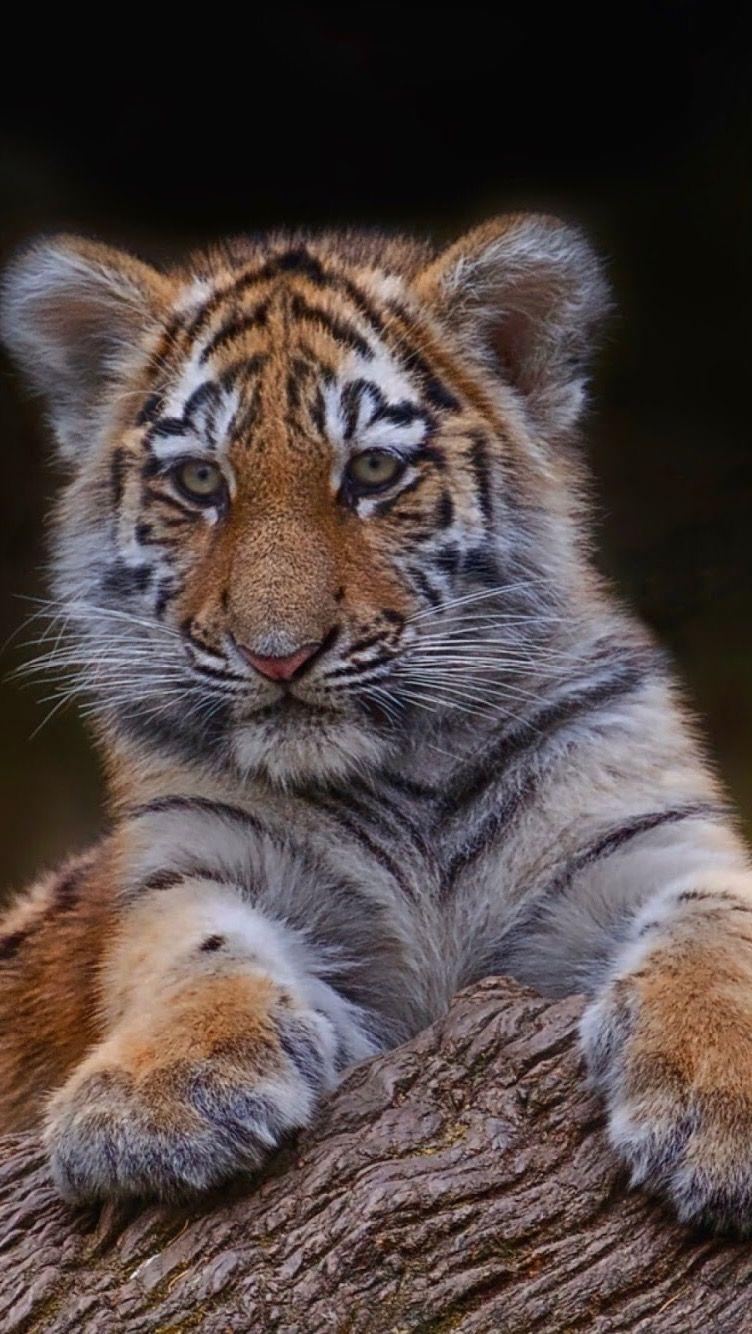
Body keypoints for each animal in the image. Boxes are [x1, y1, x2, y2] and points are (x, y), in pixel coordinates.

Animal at [0, 214, 750, 1232]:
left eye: (373, 470)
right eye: (198, 481)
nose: (277, 655)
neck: (409, 780)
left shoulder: (654, 837)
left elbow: (717, 928)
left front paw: (726, 1106)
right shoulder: (190, 861)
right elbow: (194, 953)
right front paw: (152, 1110)